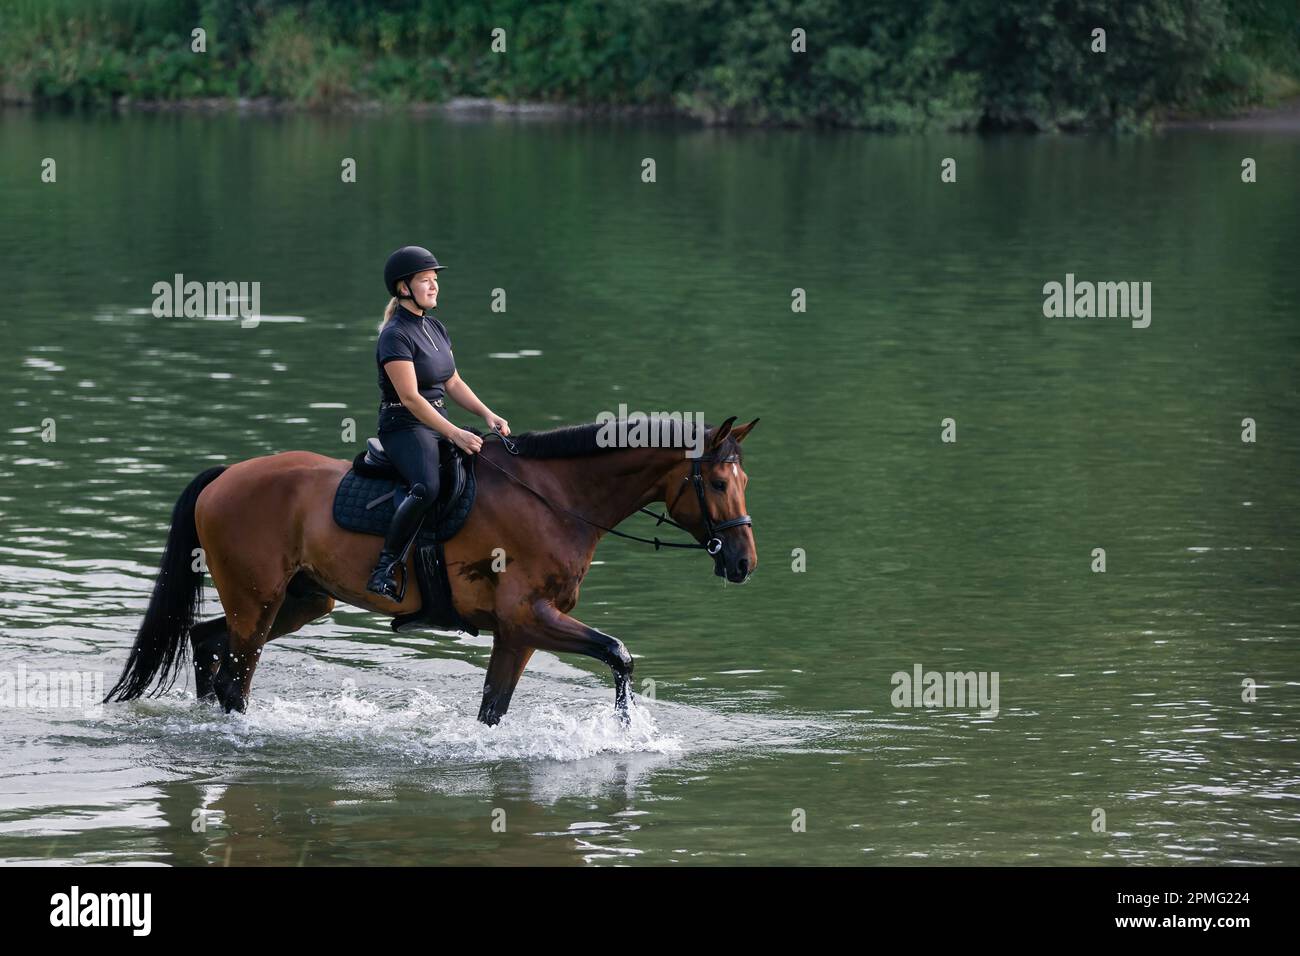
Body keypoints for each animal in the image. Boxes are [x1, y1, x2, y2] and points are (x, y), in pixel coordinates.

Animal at [104, 416, 758, 726]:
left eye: (743, 479)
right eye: (716, 482)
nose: (743, 562)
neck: (555, 499)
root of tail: (226, 475)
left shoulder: (516, 632)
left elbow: (494, 709)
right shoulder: (527, 617)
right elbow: (619, 654)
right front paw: (623, 732)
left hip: (297, 601)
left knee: (205, 640)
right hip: (258, 603)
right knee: (233, 680)